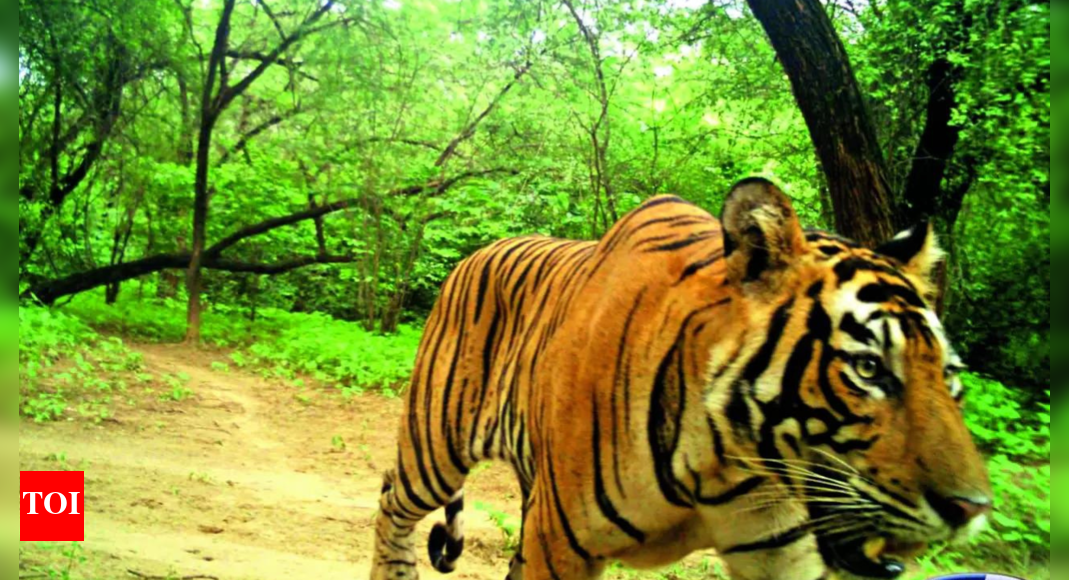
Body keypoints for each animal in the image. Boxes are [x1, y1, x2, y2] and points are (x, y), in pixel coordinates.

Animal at [370, 178, 992, 580]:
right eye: (868, 368)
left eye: (948, 374)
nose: (972, 509)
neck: (723, 460)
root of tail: (480, 250)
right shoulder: (562, 544)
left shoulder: (780, 555)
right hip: (436, 444)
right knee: (391, 498)